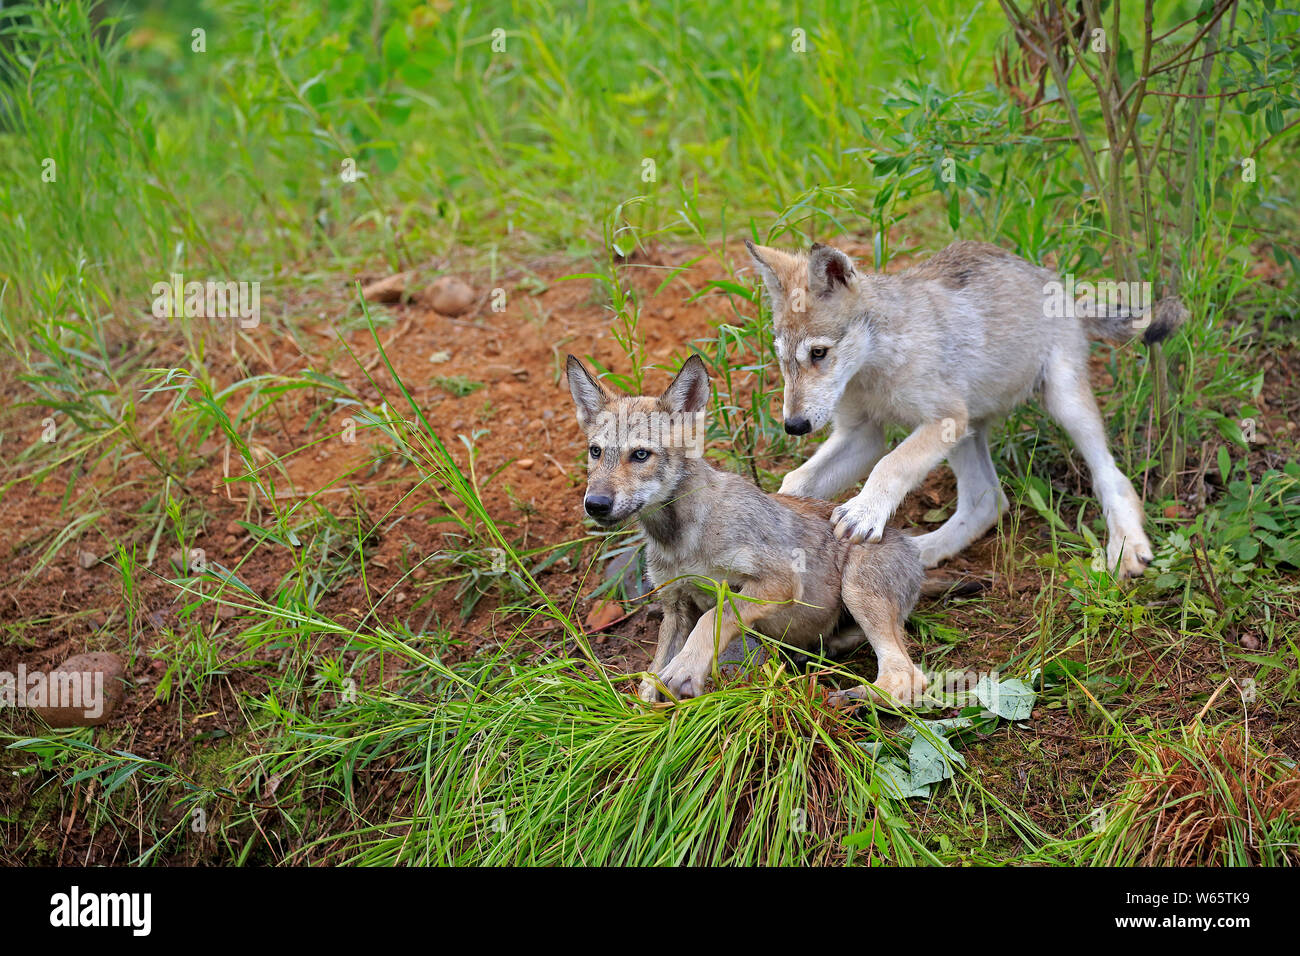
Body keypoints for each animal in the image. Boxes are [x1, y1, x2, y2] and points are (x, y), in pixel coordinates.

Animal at [566, 353, 928, 705]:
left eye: (641, 454)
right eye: (595, 452)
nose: (595, 504)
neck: (681, 538)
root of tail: (909, 544)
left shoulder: (780, 581)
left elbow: (715, 615)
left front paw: (684, 670)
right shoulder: (675, 605)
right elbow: (650, 680)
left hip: (856, 590)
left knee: (908, 677)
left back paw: (851, 697)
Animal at [745, 239, 1186, 579]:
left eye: (819, 353)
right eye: (782, 358)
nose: (794, 426)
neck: (873, 367)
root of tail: (1055, 281)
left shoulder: (943, 420)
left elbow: (891, 465)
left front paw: (863, 512)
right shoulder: (862, 435)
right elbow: (796, 481)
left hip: (1062, 405)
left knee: (1111, 476)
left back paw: (1127, 547)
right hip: (968, 433)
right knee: (988, 502)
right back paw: (921, 553)